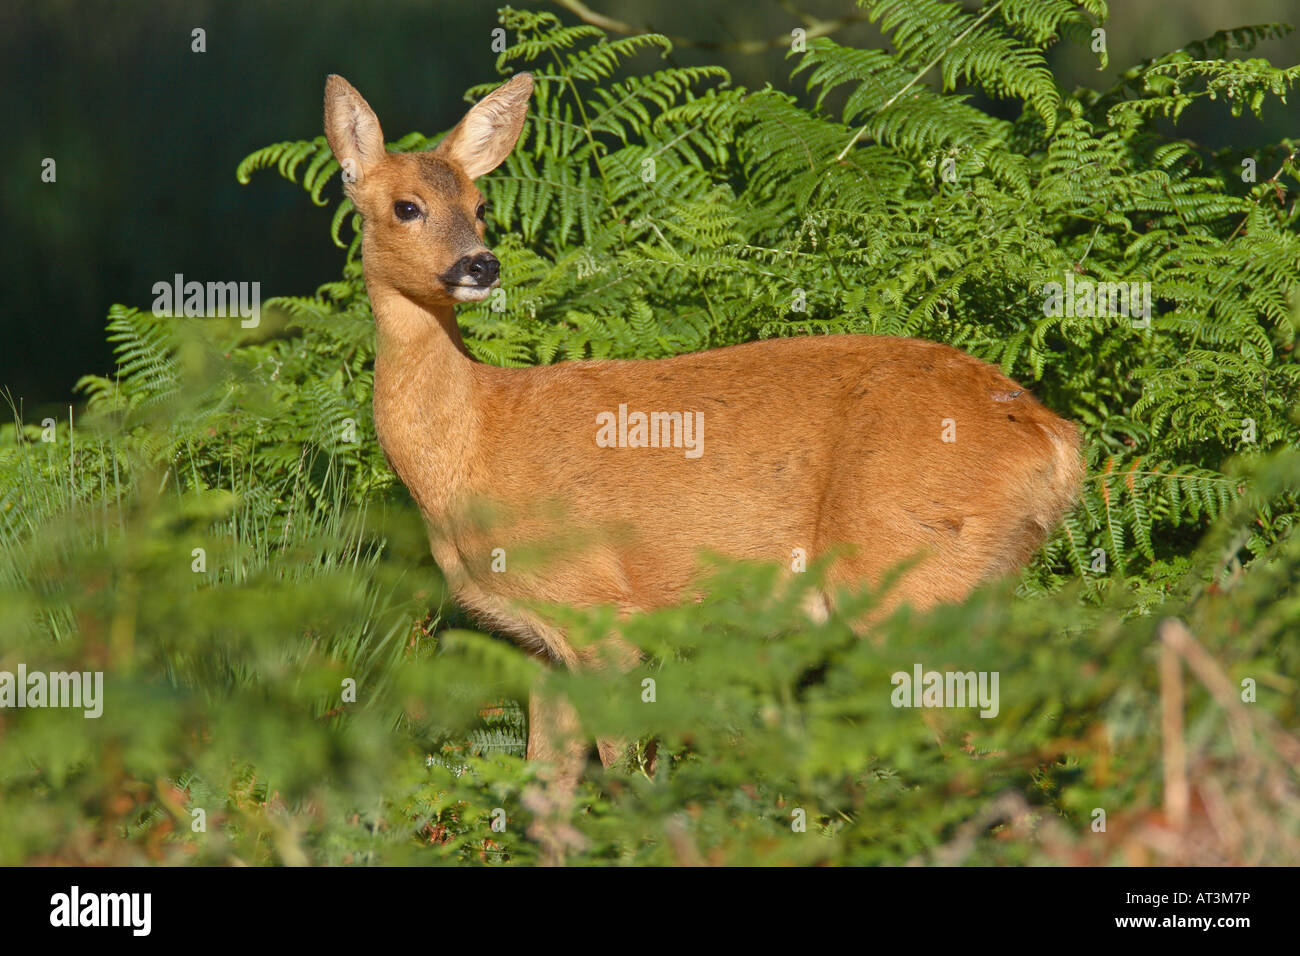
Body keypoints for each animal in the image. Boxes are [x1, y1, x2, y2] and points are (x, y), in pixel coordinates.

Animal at [323, 71, 1083, 790]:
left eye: (480, 206)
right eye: (407, 206)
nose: (480, 264)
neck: (475, 443)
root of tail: (1054, 439)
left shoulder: (598, 604)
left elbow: (623, 764)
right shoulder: (539, 642)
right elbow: (548, 783)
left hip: (908, 581)